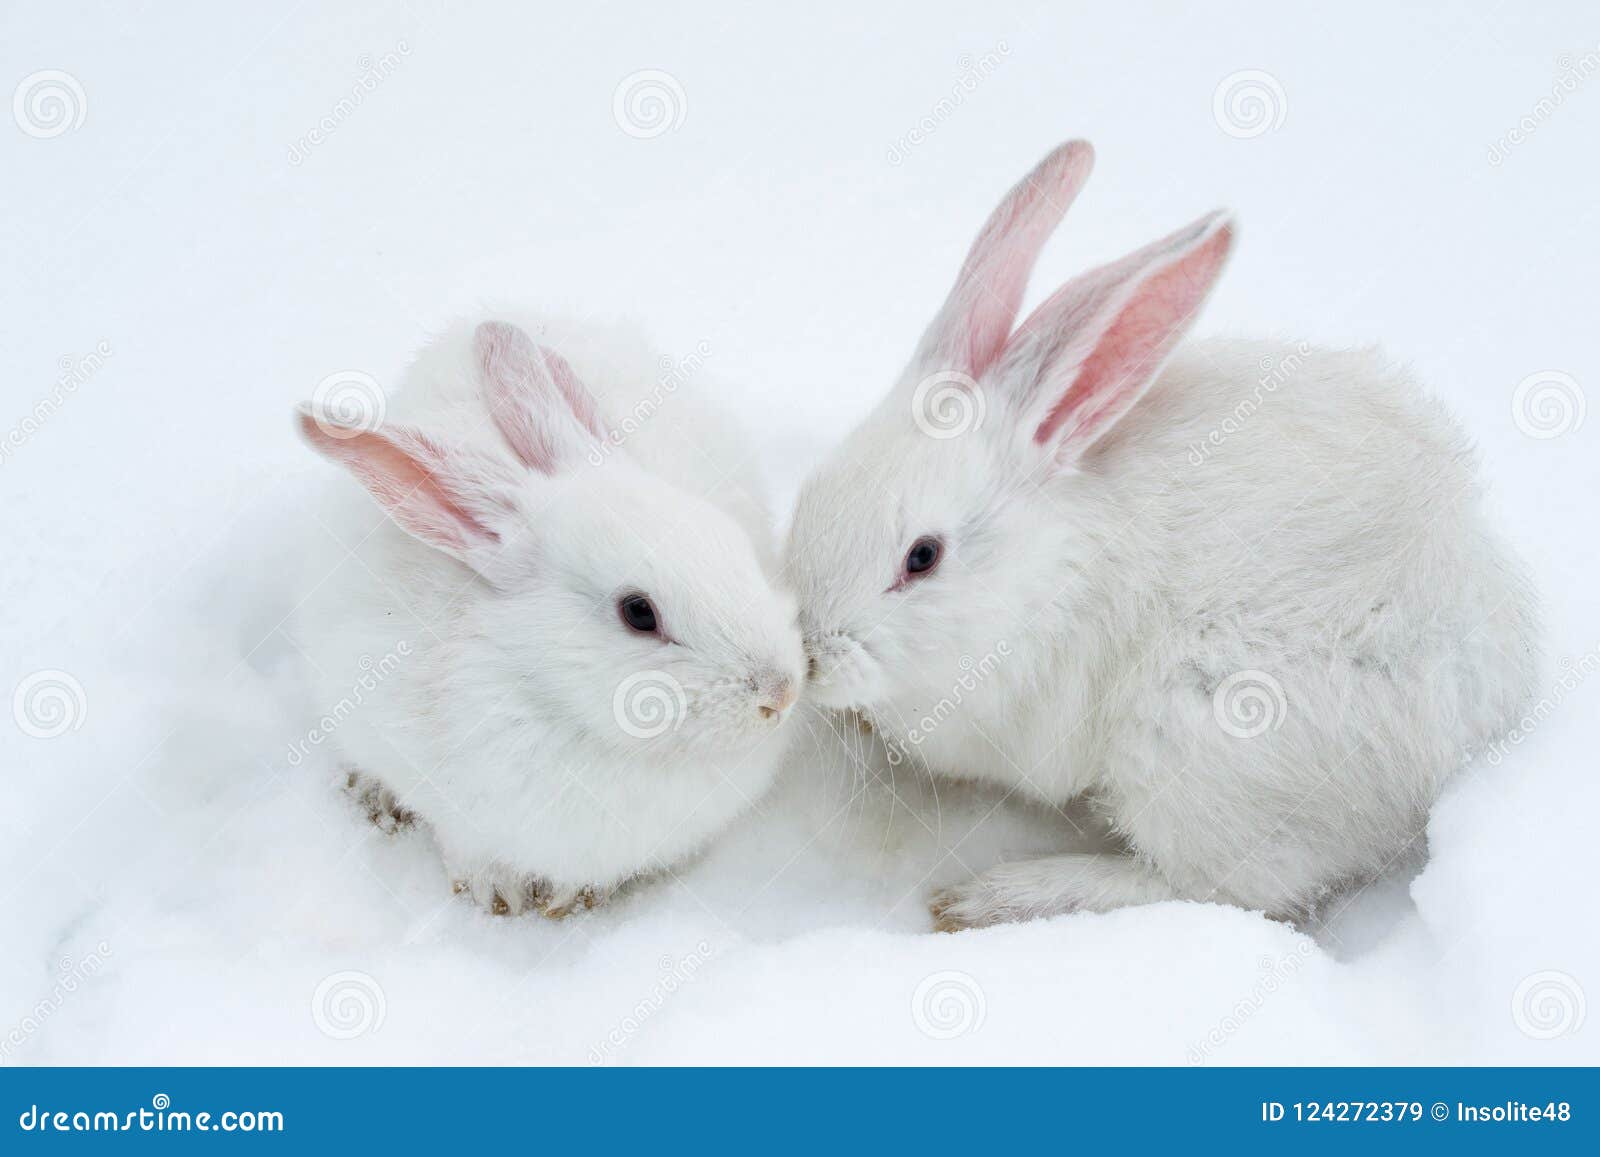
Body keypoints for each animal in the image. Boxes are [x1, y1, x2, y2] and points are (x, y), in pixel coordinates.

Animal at [782, 140, 1540, 930]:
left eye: (922, 558)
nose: (811, 656)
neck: (1042, 571)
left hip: (1200, 746)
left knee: (1213, 887)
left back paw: (999, 895)